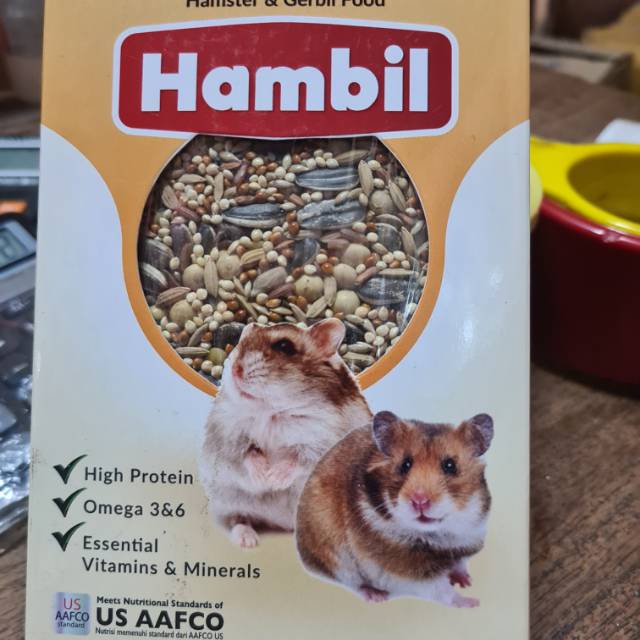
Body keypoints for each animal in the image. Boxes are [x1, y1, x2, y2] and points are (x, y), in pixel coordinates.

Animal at [199, 318, 372, 549]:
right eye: (239, 343)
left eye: (284, 346)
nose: (235, 369)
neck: (271, 410)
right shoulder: (227, 437)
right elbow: (247, 455)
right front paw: (263, 479)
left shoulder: (321, 444)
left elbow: (297, 460)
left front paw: (273, 478)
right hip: (226, 500)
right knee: (237, 519)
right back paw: (248, 541)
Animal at [296, 410, 494, 607]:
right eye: (405, 465)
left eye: (450, 465)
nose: (419, 501)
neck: (439, 535)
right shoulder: (406, 569)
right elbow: (440, 589)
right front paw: (471, 602)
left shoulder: (468, 537)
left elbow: (460, 563)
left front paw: (466, 581)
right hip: (333, 554)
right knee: (351, 583)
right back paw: (375, 595)